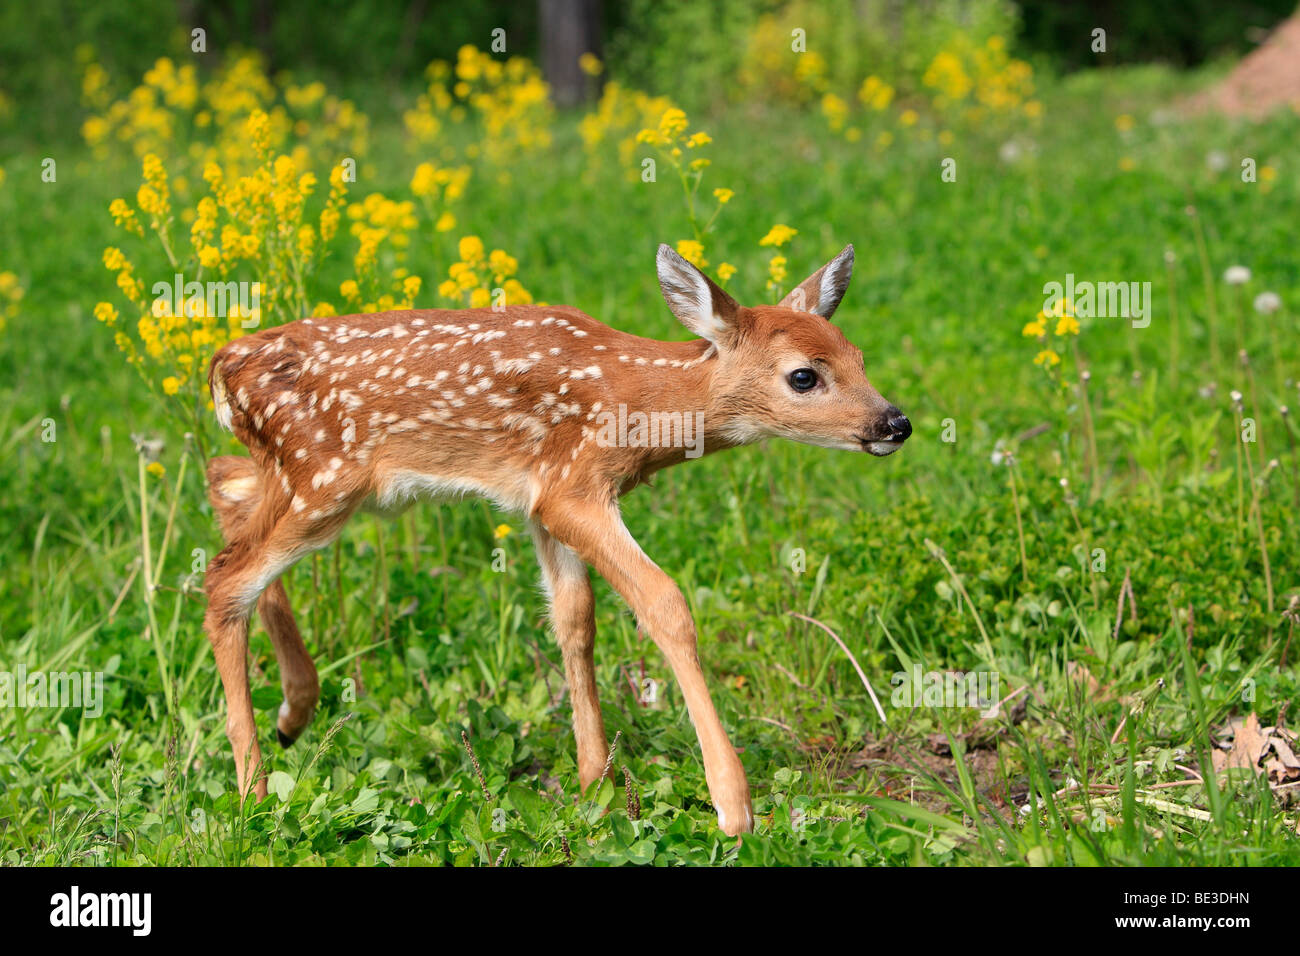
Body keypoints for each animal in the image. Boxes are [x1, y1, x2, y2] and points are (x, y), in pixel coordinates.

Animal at [202, 243, 910, 836]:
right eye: (803, 376)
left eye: (860, 358)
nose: (894, 423)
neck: (639, 402)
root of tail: (221, 366)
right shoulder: (574, 487)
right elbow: (665, 603)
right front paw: (734, 808)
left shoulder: (541, 499)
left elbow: (575, 619)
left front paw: (595, 781)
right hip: (325, 476)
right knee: (224, 577)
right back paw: (253, 791)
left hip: (297, 476)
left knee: (224, 483)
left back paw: (294, 713)